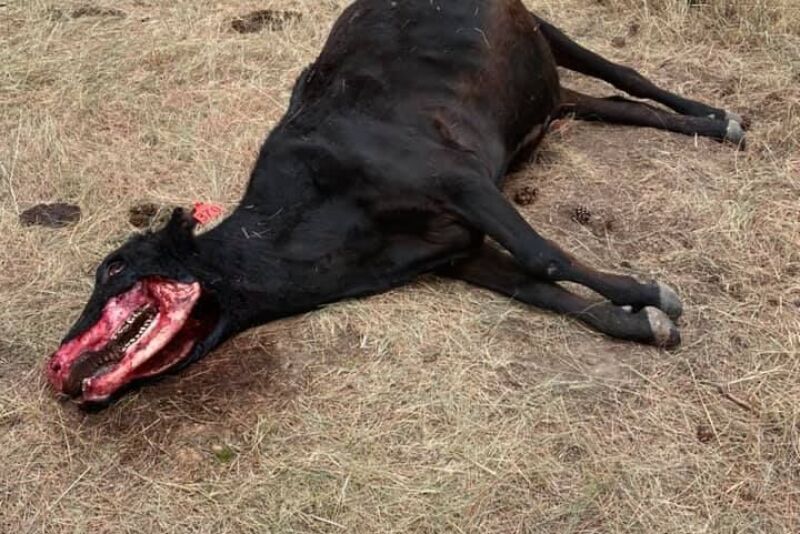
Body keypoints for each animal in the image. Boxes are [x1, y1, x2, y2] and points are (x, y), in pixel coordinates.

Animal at [46, 0, 746, 405]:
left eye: (113, 267)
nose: (57, 364)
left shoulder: (458, 180)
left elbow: (543, 256)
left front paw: (651, 293)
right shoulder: (456, 254)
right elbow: (544, 292)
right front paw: (637, 321)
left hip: (541, 27)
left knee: (626, 75)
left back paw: (720, 120)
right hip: (546, 97)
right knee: (611, 102)